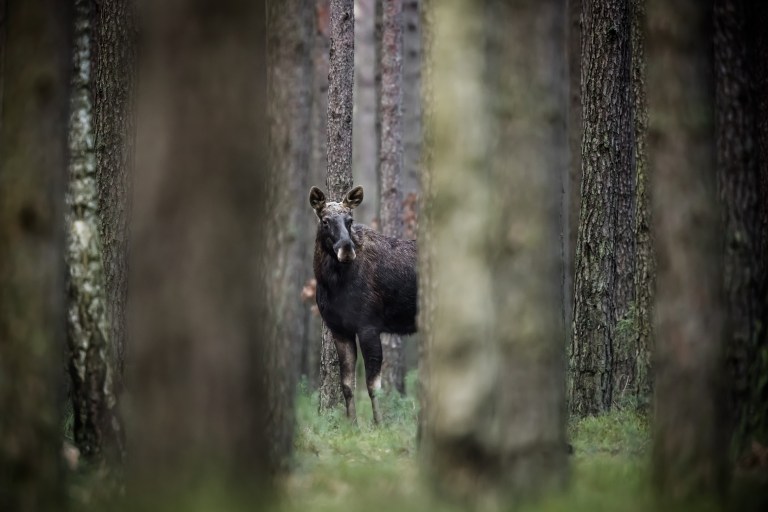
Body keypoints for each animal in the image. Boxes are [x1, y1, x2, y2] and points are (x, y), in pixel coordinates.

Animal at [309, 185, 417, 424]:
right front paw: (352, 424)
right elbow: (347, 384)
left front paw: (378, 424)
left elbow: (372, 385)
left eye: (350, 220)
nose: (346, 249)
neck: (332, 284)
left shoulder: (369, 326)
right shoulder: (339, 330)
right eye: (325, 220)